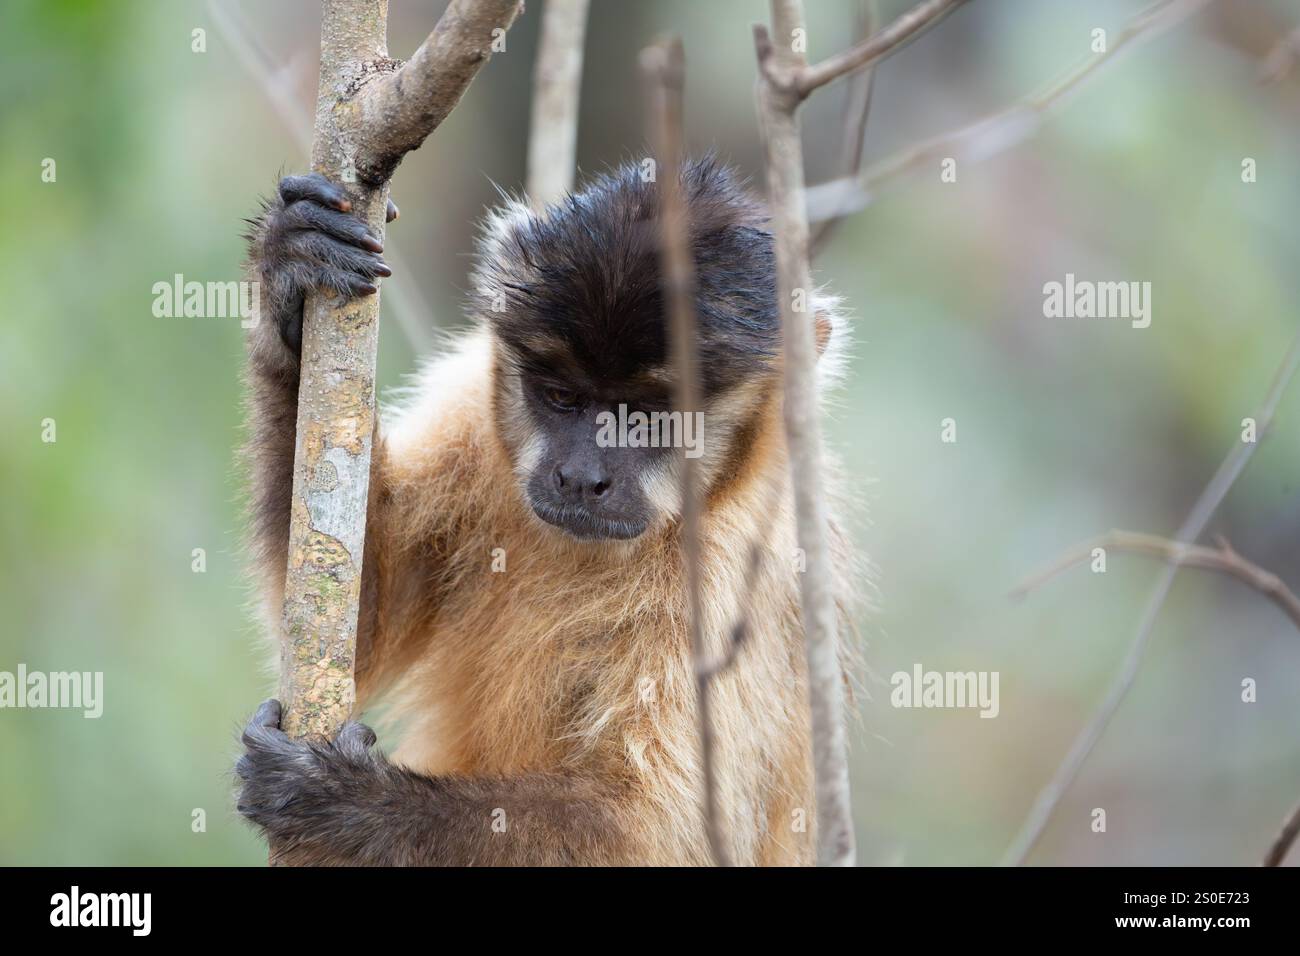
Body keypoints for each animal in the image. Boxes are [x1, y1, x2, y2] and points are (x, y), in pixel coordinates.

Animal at [236, 158, 858, 866]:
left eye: (645, 420)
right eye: (562, 398)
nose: (580, 477)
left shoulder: (739, 575)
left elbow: (659, 837)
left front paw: (342, 800)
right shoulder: (474, 411)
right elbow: (361, 621)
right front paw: (290, 275)